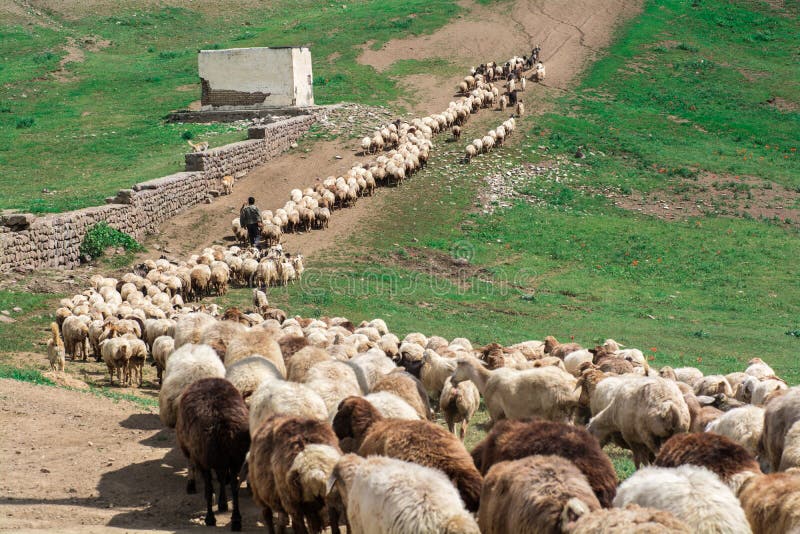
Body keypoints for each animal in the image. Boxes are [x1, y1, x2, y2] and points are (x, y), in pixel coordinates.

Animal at [176, 378, 250, 531]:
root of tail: (222, 419)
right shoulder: (222, 460)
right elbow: (222, 479)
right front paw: (222, 503)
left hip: (204, 457)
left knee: (210, 488)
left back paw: (210, 518)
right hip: (235, 458)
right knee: (234, 487)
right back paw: (236, 520)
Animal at [451, 356, 580, 424]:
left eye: (457, 367)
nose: (452, 379)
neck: (485, 379)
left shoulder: (496, 412)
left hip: (558, 413)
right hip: (568, 413)